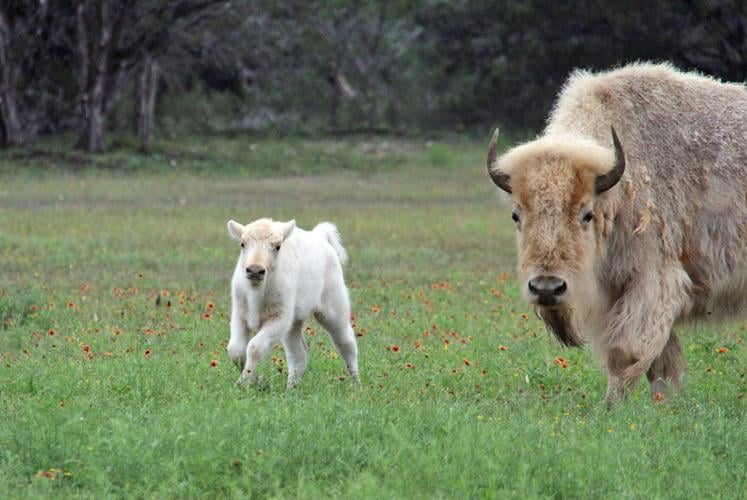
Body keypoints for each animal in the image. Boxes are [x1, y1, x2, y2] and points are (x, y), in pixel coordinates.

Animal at [486, 63, 747, 405]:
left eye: (587, 214)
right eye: (516, 215)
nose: (547, 288)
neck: (618, 186)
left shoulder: (652, 283)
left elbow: (626, 354)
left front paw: (611, 408)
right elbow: (660, 363)